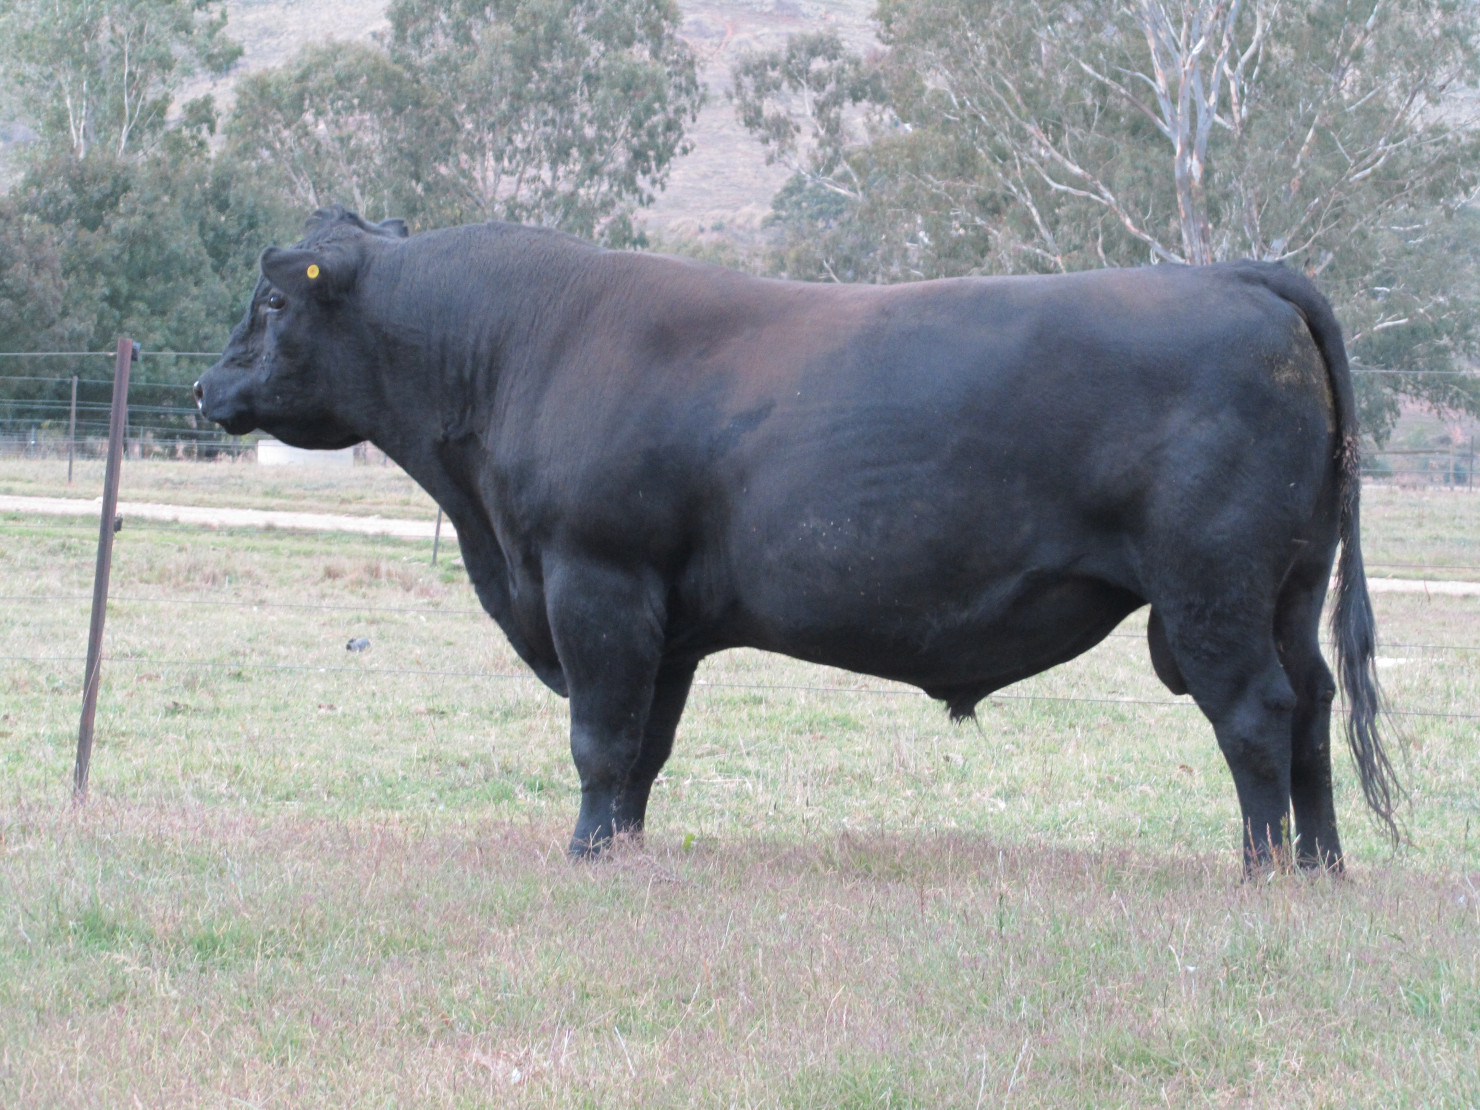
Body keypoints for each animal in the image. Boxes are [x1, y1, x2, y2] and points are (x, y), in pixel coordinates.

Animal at [195, 206, 1398, 873]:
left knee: (1257, 716)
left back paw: (1261, 869)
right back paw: (1322, 869)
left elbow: (597, 739)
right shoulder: (664, 622)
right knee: (1312, 713)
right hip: (1289, 587)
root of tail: (1240, 274)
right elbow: (644, 748)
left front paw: (583, 855)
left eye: (272, 301)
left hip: (1211, 591)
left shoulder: (596, 582)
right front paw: (625, 848)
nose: (208, 388)